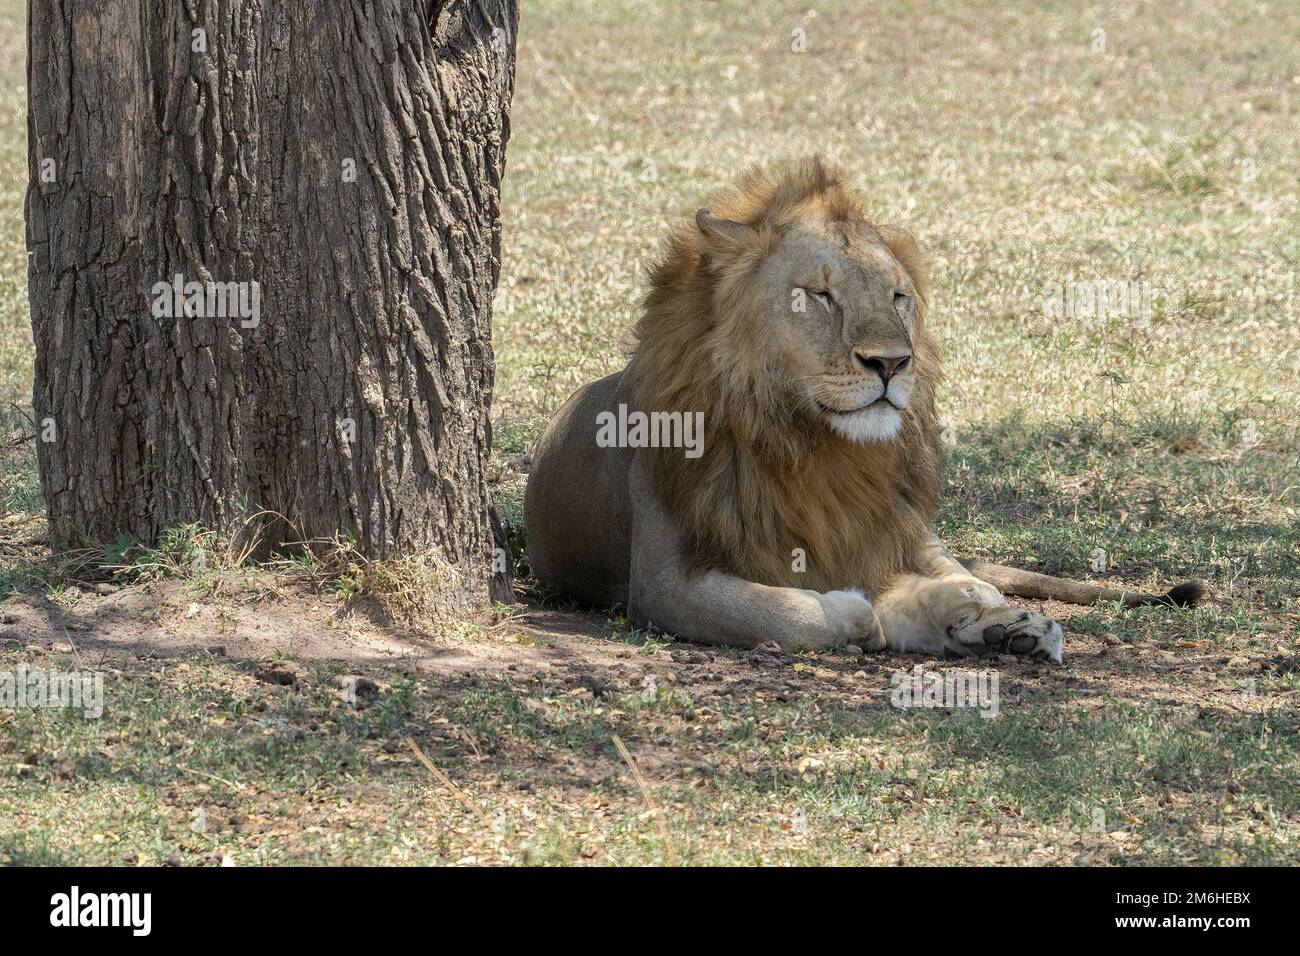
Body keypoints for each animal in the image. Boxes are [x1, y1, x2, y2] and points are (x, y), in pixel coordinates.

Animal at [523, 160, 1202, 664]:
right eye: (820, 295)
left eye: (898, 296)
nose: (893, 363)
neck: (810, 440)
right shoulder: (663, 582)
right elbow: (793, 609)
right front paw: (868, 613)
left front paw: (976, 617)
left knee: (968, 573)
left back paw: (1011, 622)